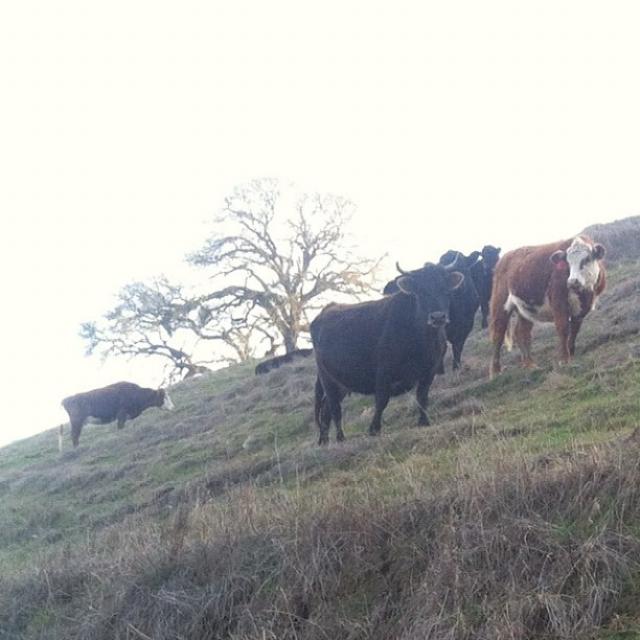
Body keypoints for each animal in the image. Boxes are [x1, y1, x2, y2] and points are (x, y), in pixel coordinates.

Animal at [312, 263, 464, 445]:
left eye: (445, 289)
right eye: (420, 291)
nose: (438, 317)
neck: (422, 340)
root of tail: (327, 309)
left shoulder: (429, 372)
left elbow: (422, 396)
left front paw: (424, 421)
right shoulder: (383, 373)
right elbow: (382, 401)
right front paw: (374, 429)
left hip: (341, 383)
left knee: (326, 409)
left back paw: (324, 441)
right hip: (327, 379)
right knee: (334, 408)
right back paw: (340, 438)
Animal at [489, 236, 606, 378]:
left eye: (587, 259)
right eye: (567, 262)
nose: (572, 281)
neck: (585, 293)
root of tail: (505, 257)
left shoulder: (582, 309)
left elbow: (575, 330)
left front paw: (571, 353)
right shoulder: (558, 302)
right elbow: (563, 328)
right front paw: (564, 359)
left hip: (525, 308)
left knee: (522, 332)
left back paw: (530, 365)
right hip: (500, 304)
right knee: (498, 334)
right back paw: (495, 371)